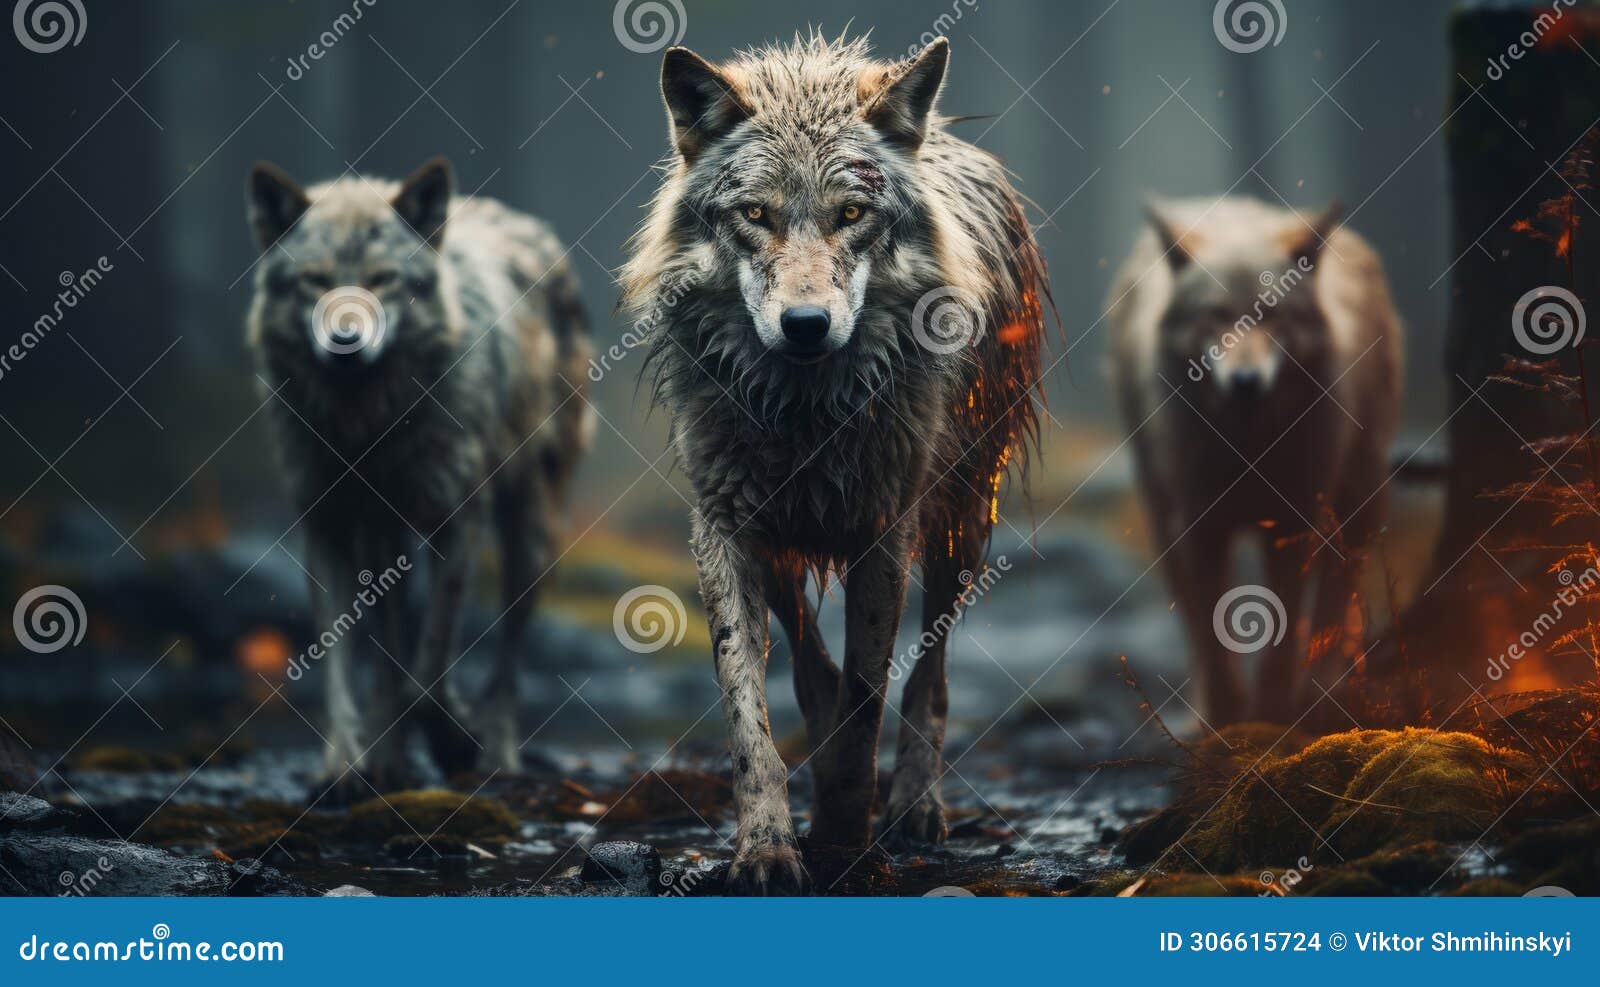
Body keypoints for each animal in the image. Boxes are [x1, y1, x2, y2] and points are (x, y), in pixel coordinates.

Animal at [245, 157, 592, 799]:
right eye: (315, 281)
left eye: (382, 279)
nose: (346, 341)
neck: (366, 429)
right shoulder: (328, 528)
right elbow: (352, 665)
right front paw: (343, 768)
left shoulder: (458, 521)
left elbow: (427, 673)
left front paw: (456, 741)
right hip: (387, 545)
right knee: (395, 649)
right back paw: (390, 760)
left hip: (528, 537)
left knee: (505, 658)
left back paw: (494, 753)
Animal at [621, 34, 1050, 893]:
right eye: (755, 214)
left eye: (851, 214)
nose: (806, 324)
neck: (806, 414)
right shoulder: (724, 528)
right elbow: (751, 714)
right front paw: (768, 847)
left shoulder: (884, 531)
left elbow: (867, 696)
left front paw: (850, 841)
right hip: (783, 543)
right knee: (810, 673)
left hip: (960, 525)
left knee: (931, 677)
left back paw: (916, 805)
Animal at [1109, 196, 1403, 724]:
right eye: (1215, 315)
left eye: (1272, 314)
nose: (1246, 382)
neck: (1245, 451)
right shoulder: (1199, 527)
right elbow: (1211, 632)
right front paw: (1225, 719)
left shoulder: (1291, 524)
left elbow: (1283, 631)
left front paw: (1270, 712)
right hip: (1163, 518)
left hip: (1359, 502)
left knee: (1337, 597)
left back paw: (1321, 693)